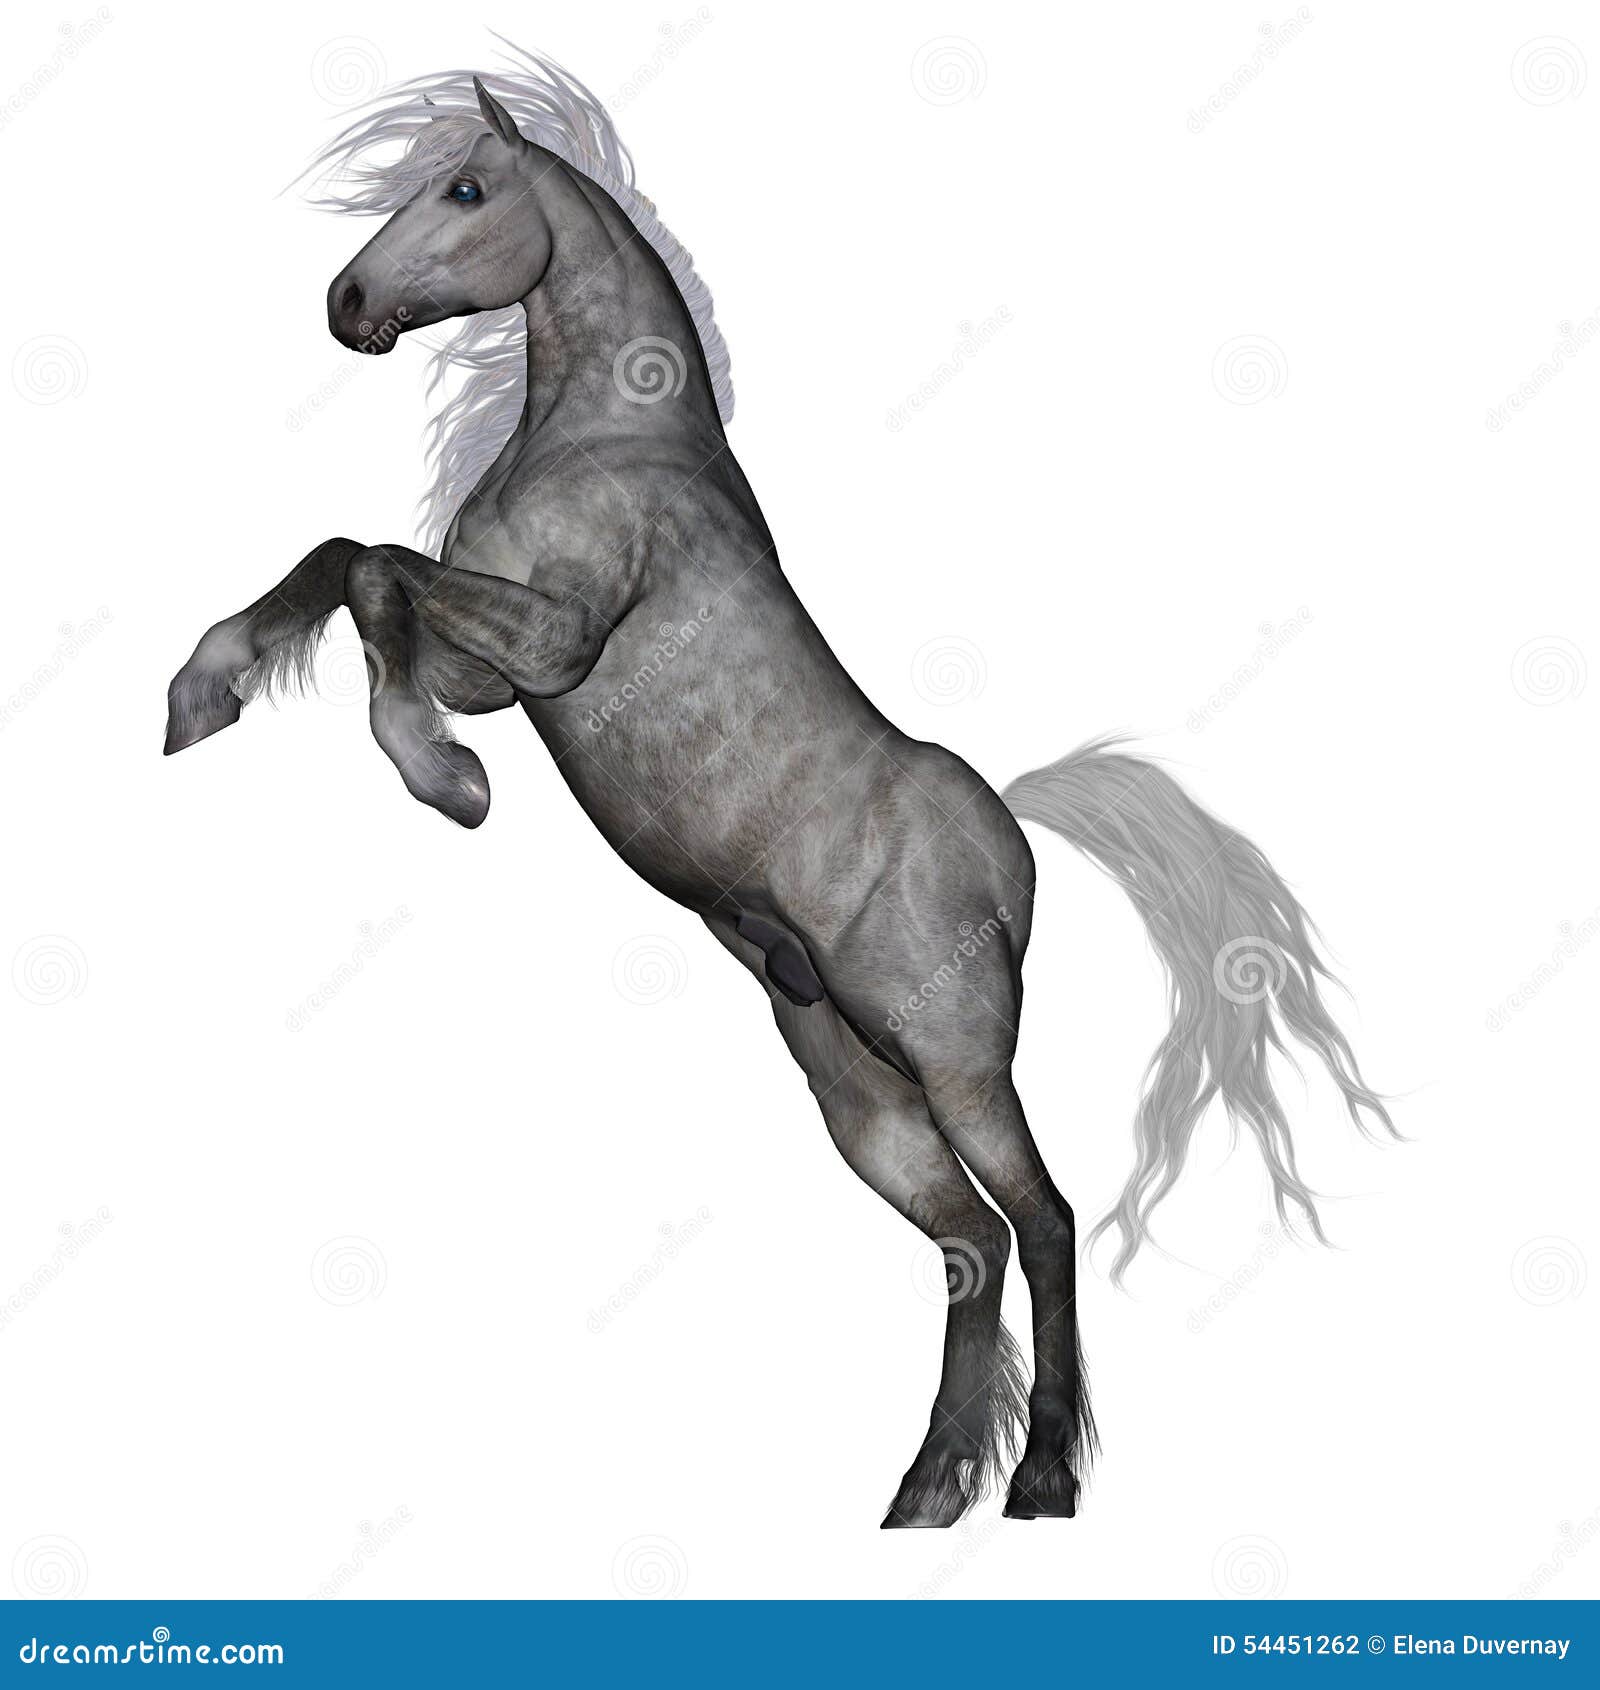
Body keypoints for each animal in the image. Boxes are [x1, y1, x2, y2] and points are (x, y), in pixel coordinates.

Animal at [163, 44, 1393, 1528]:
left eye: (465, 188)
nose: (349, 305)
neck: (607, 440)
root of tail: (1015, 836)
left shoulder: (548, 650)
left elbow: (374, 571)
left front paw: (440, 780)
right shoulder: (492, 667)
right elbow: (346, 569)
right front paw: (207, 695)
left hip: (954, 1055)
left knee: (1042, 1219)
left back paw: (1038, 1477)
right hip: (856, 1088)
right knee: (971, 1241)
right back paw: (924, 1490)